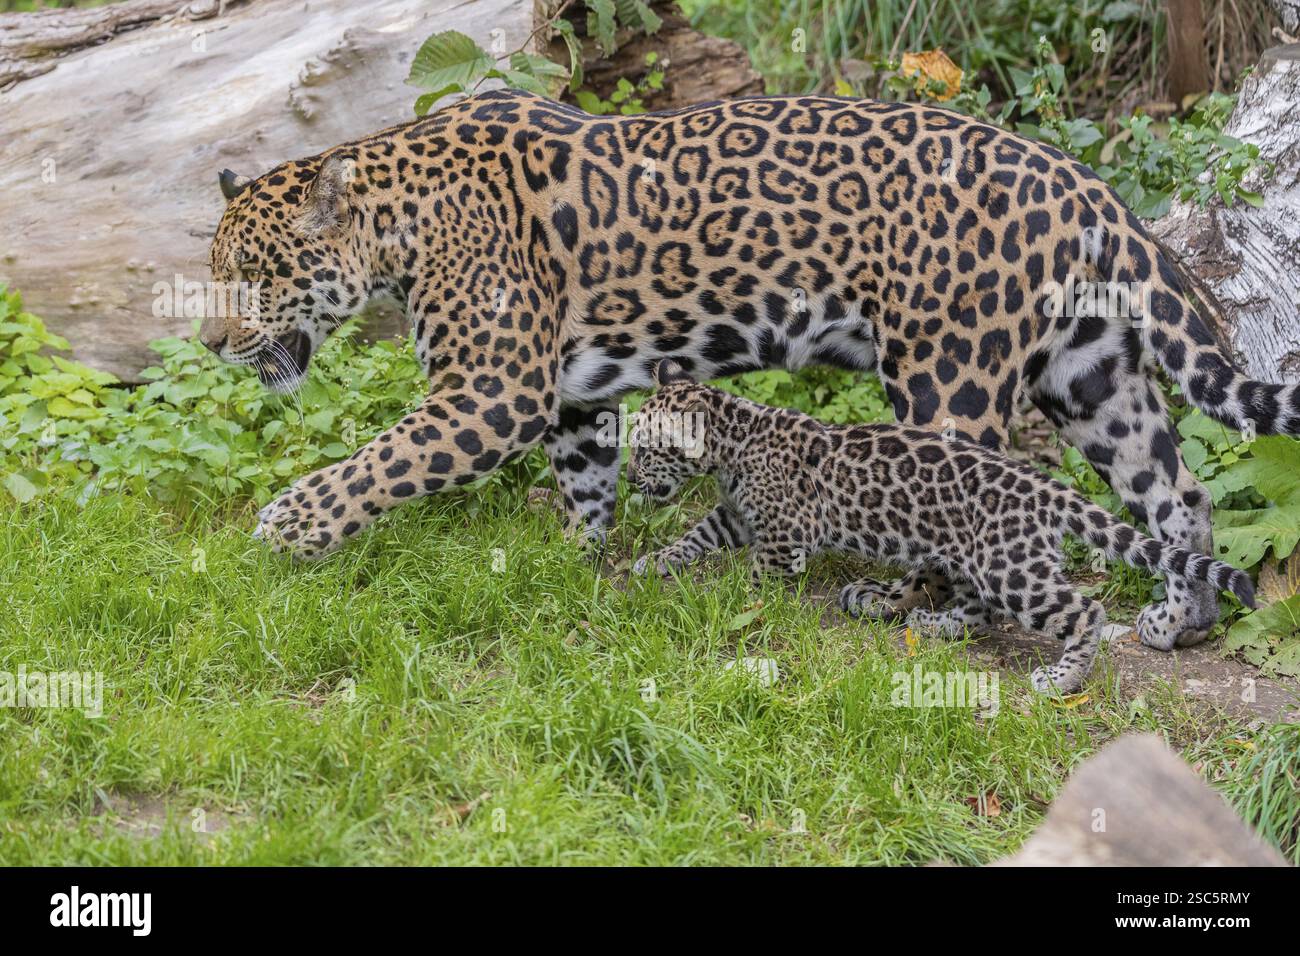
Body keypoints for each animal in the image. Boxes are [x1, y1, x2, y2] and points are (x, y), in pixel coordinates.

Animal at [200, 88, 1297, 654]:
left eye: (254, 274)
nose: (210, 342)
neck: (397, 215)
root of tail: (1084, 185)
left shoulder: (491, 392)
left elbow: (377, 463)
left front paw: (288, 529)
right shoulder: (572, 395)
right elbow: (585, 484)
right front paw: (575, 563)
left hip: (946, 377)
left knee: (971, 492)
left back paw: (922, 611)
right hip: (1088, 372)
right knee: (1178, 492)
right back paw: (1181, 617)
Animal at [625, 360, 1256, 693]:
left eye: (646, 448)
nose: (629, 479)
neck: (731, 444)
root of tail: (1048, 488)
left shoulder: (784, 533)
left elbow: (758, 578)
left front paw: (736, 601)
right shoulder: (736, 513)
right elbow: (697, 535)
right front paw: (656, 562)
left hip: (1009, 567)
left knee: (1084, 610)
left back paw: (1061, 678)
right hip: (972, 560)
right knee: (978, 615)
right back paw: (936, 624)